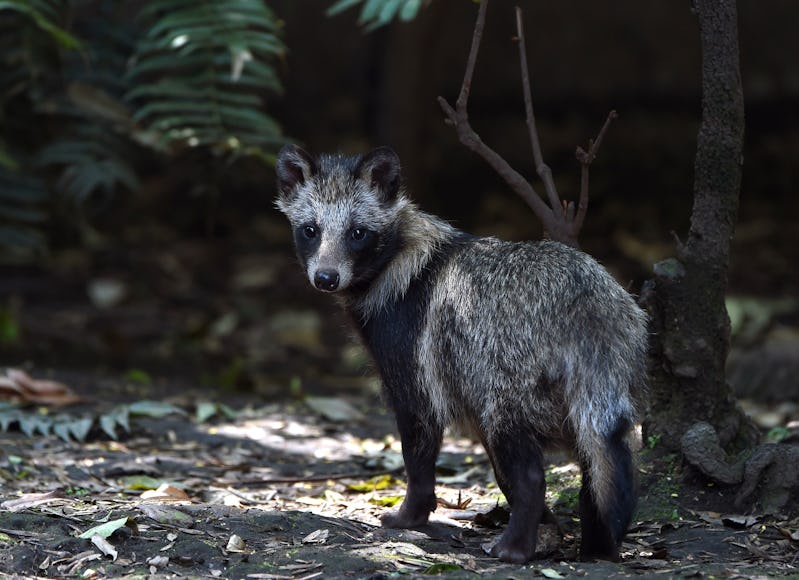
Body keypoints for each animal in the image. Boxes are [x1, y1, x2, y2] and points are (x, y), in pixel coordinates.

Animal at [275, 145, 648, 564]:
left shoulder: (412, 355)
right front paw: (548, 522)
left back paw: (518, 544)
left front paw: (413, 512)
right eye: (311, 230)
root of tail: (587, 306)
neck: (399, 257)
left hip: (510, 376)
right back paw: (599, 541)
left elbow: (419, 442)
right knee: (606, 459)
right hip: (603, 371)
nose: (326, 278)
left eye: (358, 233)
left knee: (529, 464)